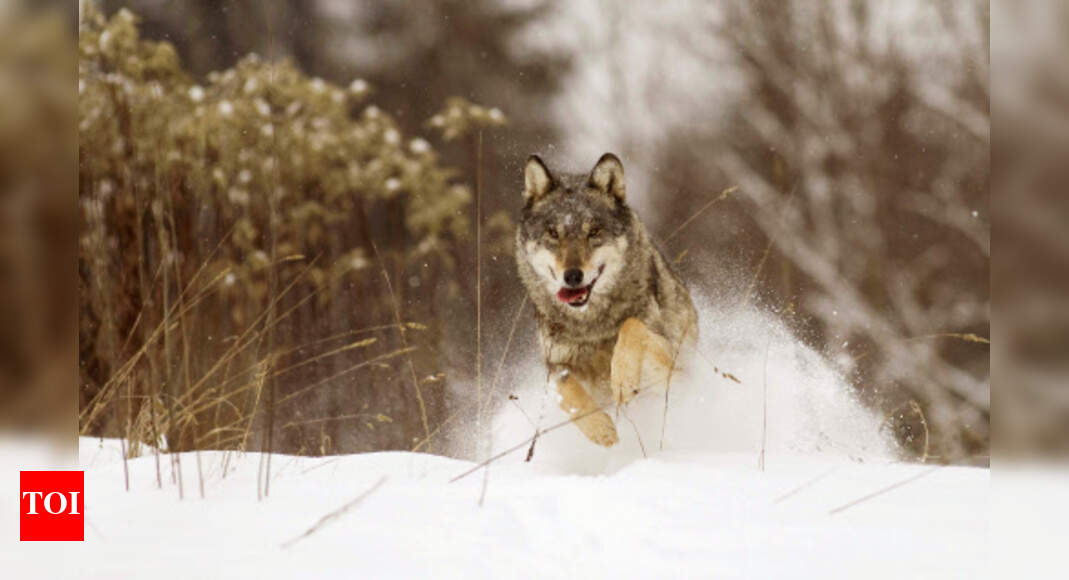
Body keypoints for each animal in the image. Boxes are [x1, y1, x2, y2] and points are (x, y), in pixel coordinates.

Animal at [515, 153, 698, 446]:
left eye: (594, 232)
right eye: (553, 233)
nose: (573, 276)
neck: (592, 328)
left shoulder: (672, 367)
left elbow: (631, 327)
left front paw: (623, 381)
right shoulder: (556, 365)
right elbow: (565, 391)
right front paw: (600, 429)